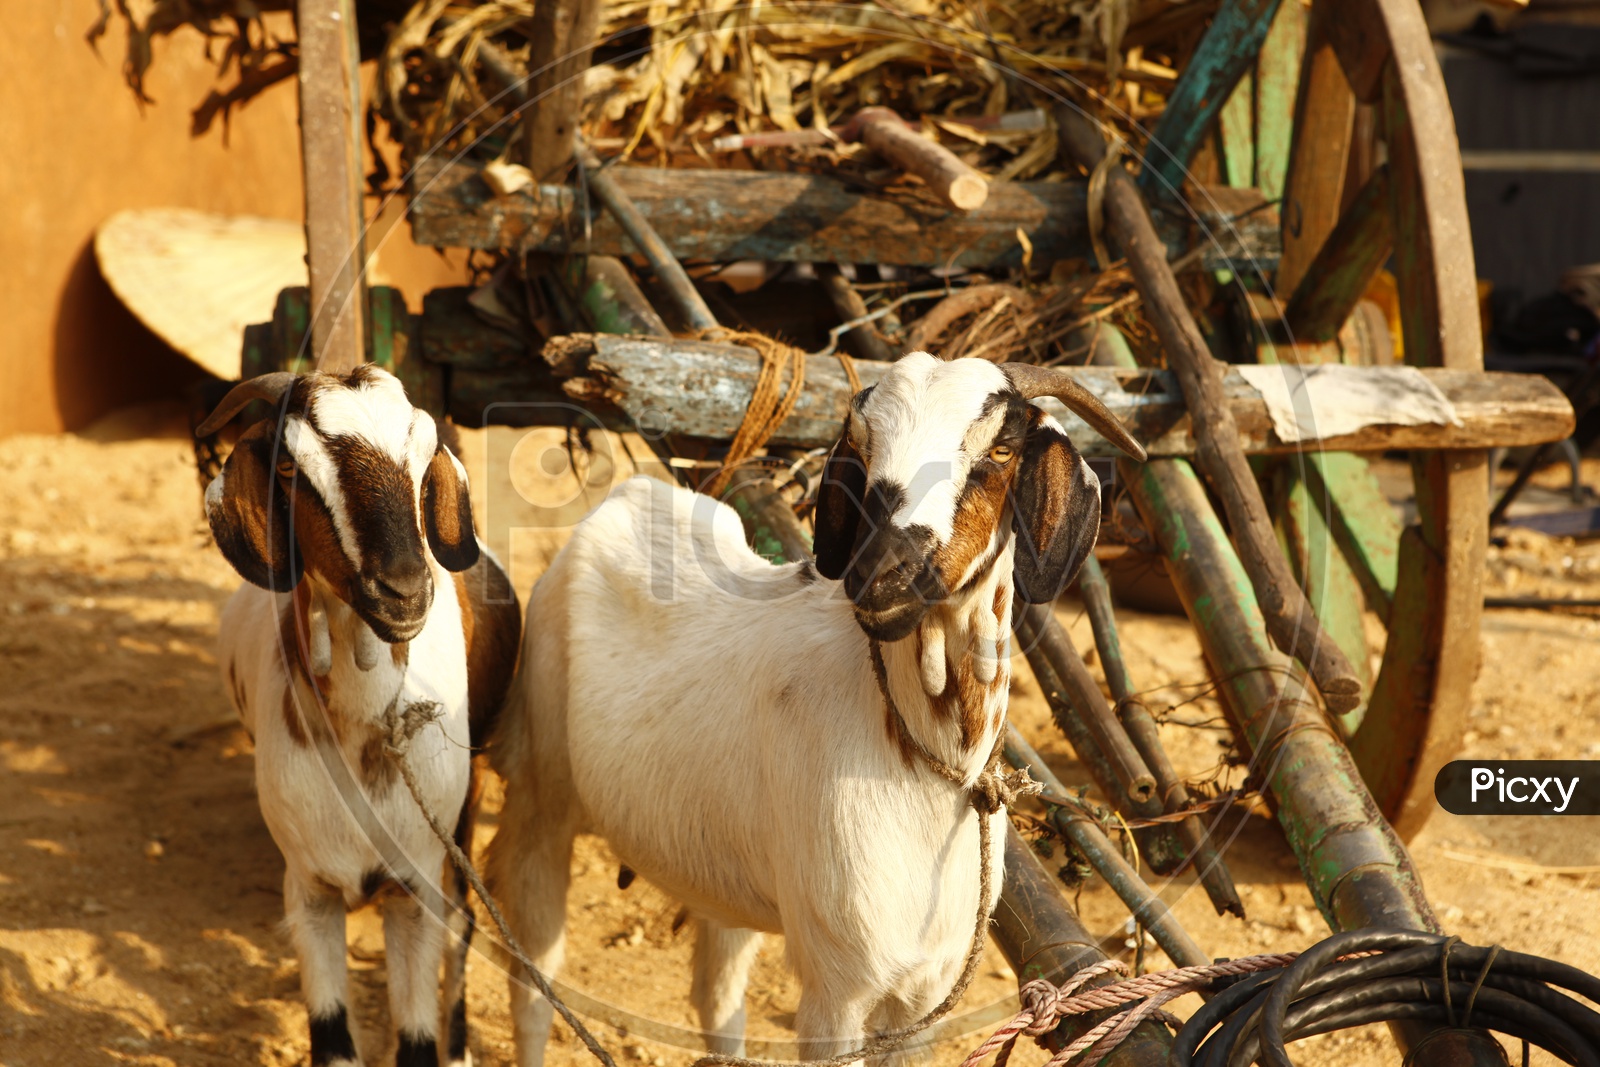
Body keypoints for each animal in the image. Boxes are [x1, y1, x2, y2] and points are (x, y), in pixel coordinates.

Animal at [198, 366, 521, 1067]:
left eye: (424, 455)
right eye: (289, 468)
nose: (403, 592)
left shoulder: (415, 889)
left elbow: (418, 1041)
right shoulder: (309, 891)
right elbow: (333, 1044)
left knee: (465, 925)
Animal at [484, 353, 1146, 1065]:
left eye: (999, 449)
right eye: (864, 447)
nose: (882, 575)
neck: (919, 762)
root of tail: (627, 497)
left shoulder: (926, 994)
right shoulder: (839, 985)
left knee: (717, 997)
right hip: (542, 798)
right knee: (534, 982)